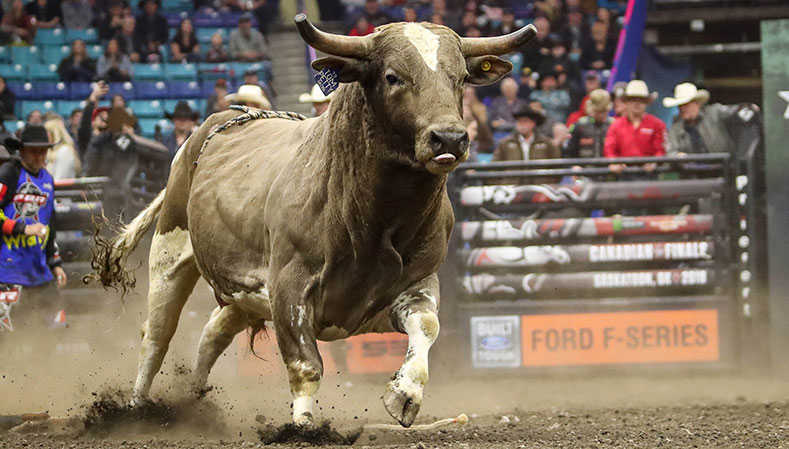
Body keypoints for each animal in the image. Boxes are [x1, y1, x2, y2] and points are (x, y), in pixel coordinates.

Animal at [92, 15, 534, 428]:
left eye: (460, 78)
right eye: (393, 76)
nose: (450, 138)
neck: (371, 218)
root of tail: (211, 128)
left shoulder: (417, 282)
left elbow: (427, 326)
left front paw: (404, 394)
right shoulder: (289, 286)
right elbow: (305, 366)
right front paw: (304, 426)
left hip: (243, 291)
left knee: (214, 331)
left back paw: (194, 401)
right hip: (170, 252)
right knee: (157, 335)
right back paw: (137, 407)